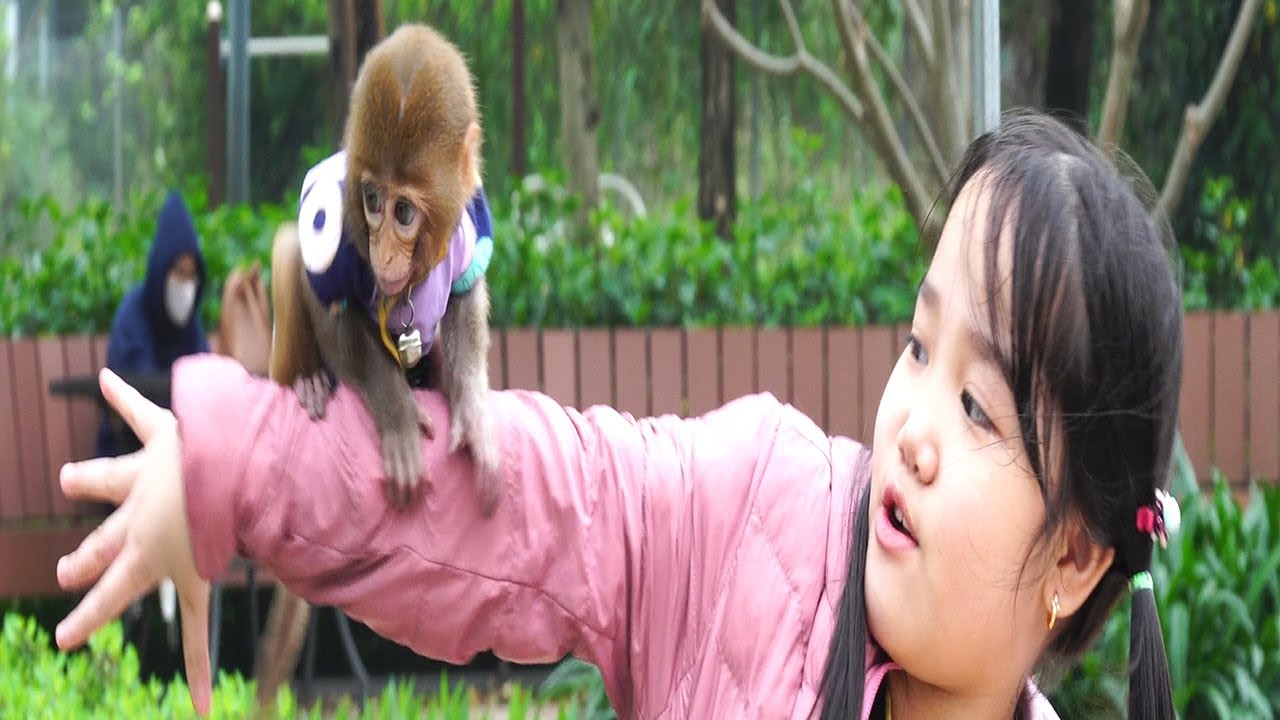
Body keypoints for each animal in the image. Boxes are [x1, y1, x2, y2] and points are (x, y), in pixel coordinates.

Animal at [255, 23, 501, 709]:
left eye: (404, 212)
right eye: (370, 200)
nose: (385, 248)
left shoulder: (469, 219)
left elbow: (465, 295)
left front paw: (473, 411)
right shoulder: (336, 228)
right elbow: (330, 299)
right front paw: (395, 419)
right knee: (289, 248)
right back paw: (311, 381)